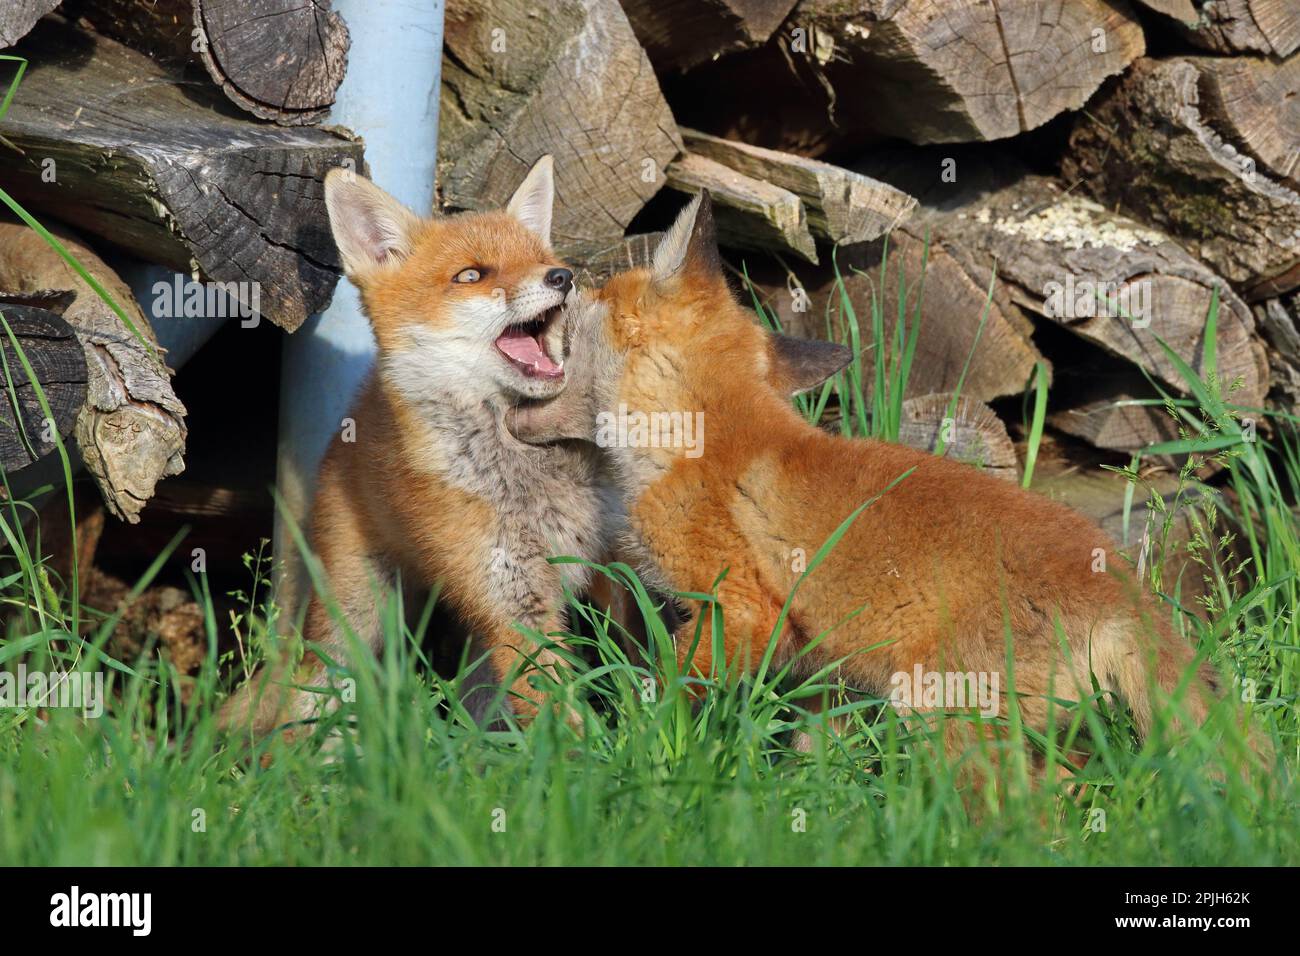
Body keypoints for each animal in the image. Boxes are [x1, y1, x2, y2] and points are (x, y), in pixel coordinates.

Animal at [220, 156, 613, 737]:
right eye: (472, 275)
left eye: (541, 260)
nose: (562, 276)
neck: (524, 472)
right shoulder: (512, 601)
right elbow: (561, 720)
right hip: (355, 621)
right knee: (311, 701)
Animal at [508, 191, 1253, 776]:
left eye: (589, 295)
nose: (567, 275)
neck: (697, 444)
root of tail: (1119, 584)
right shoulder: (825, 674)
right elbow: (815, 759)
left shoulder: (742, 611)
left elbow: (666, 697)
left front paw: (640, 754)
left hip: (945, 715)